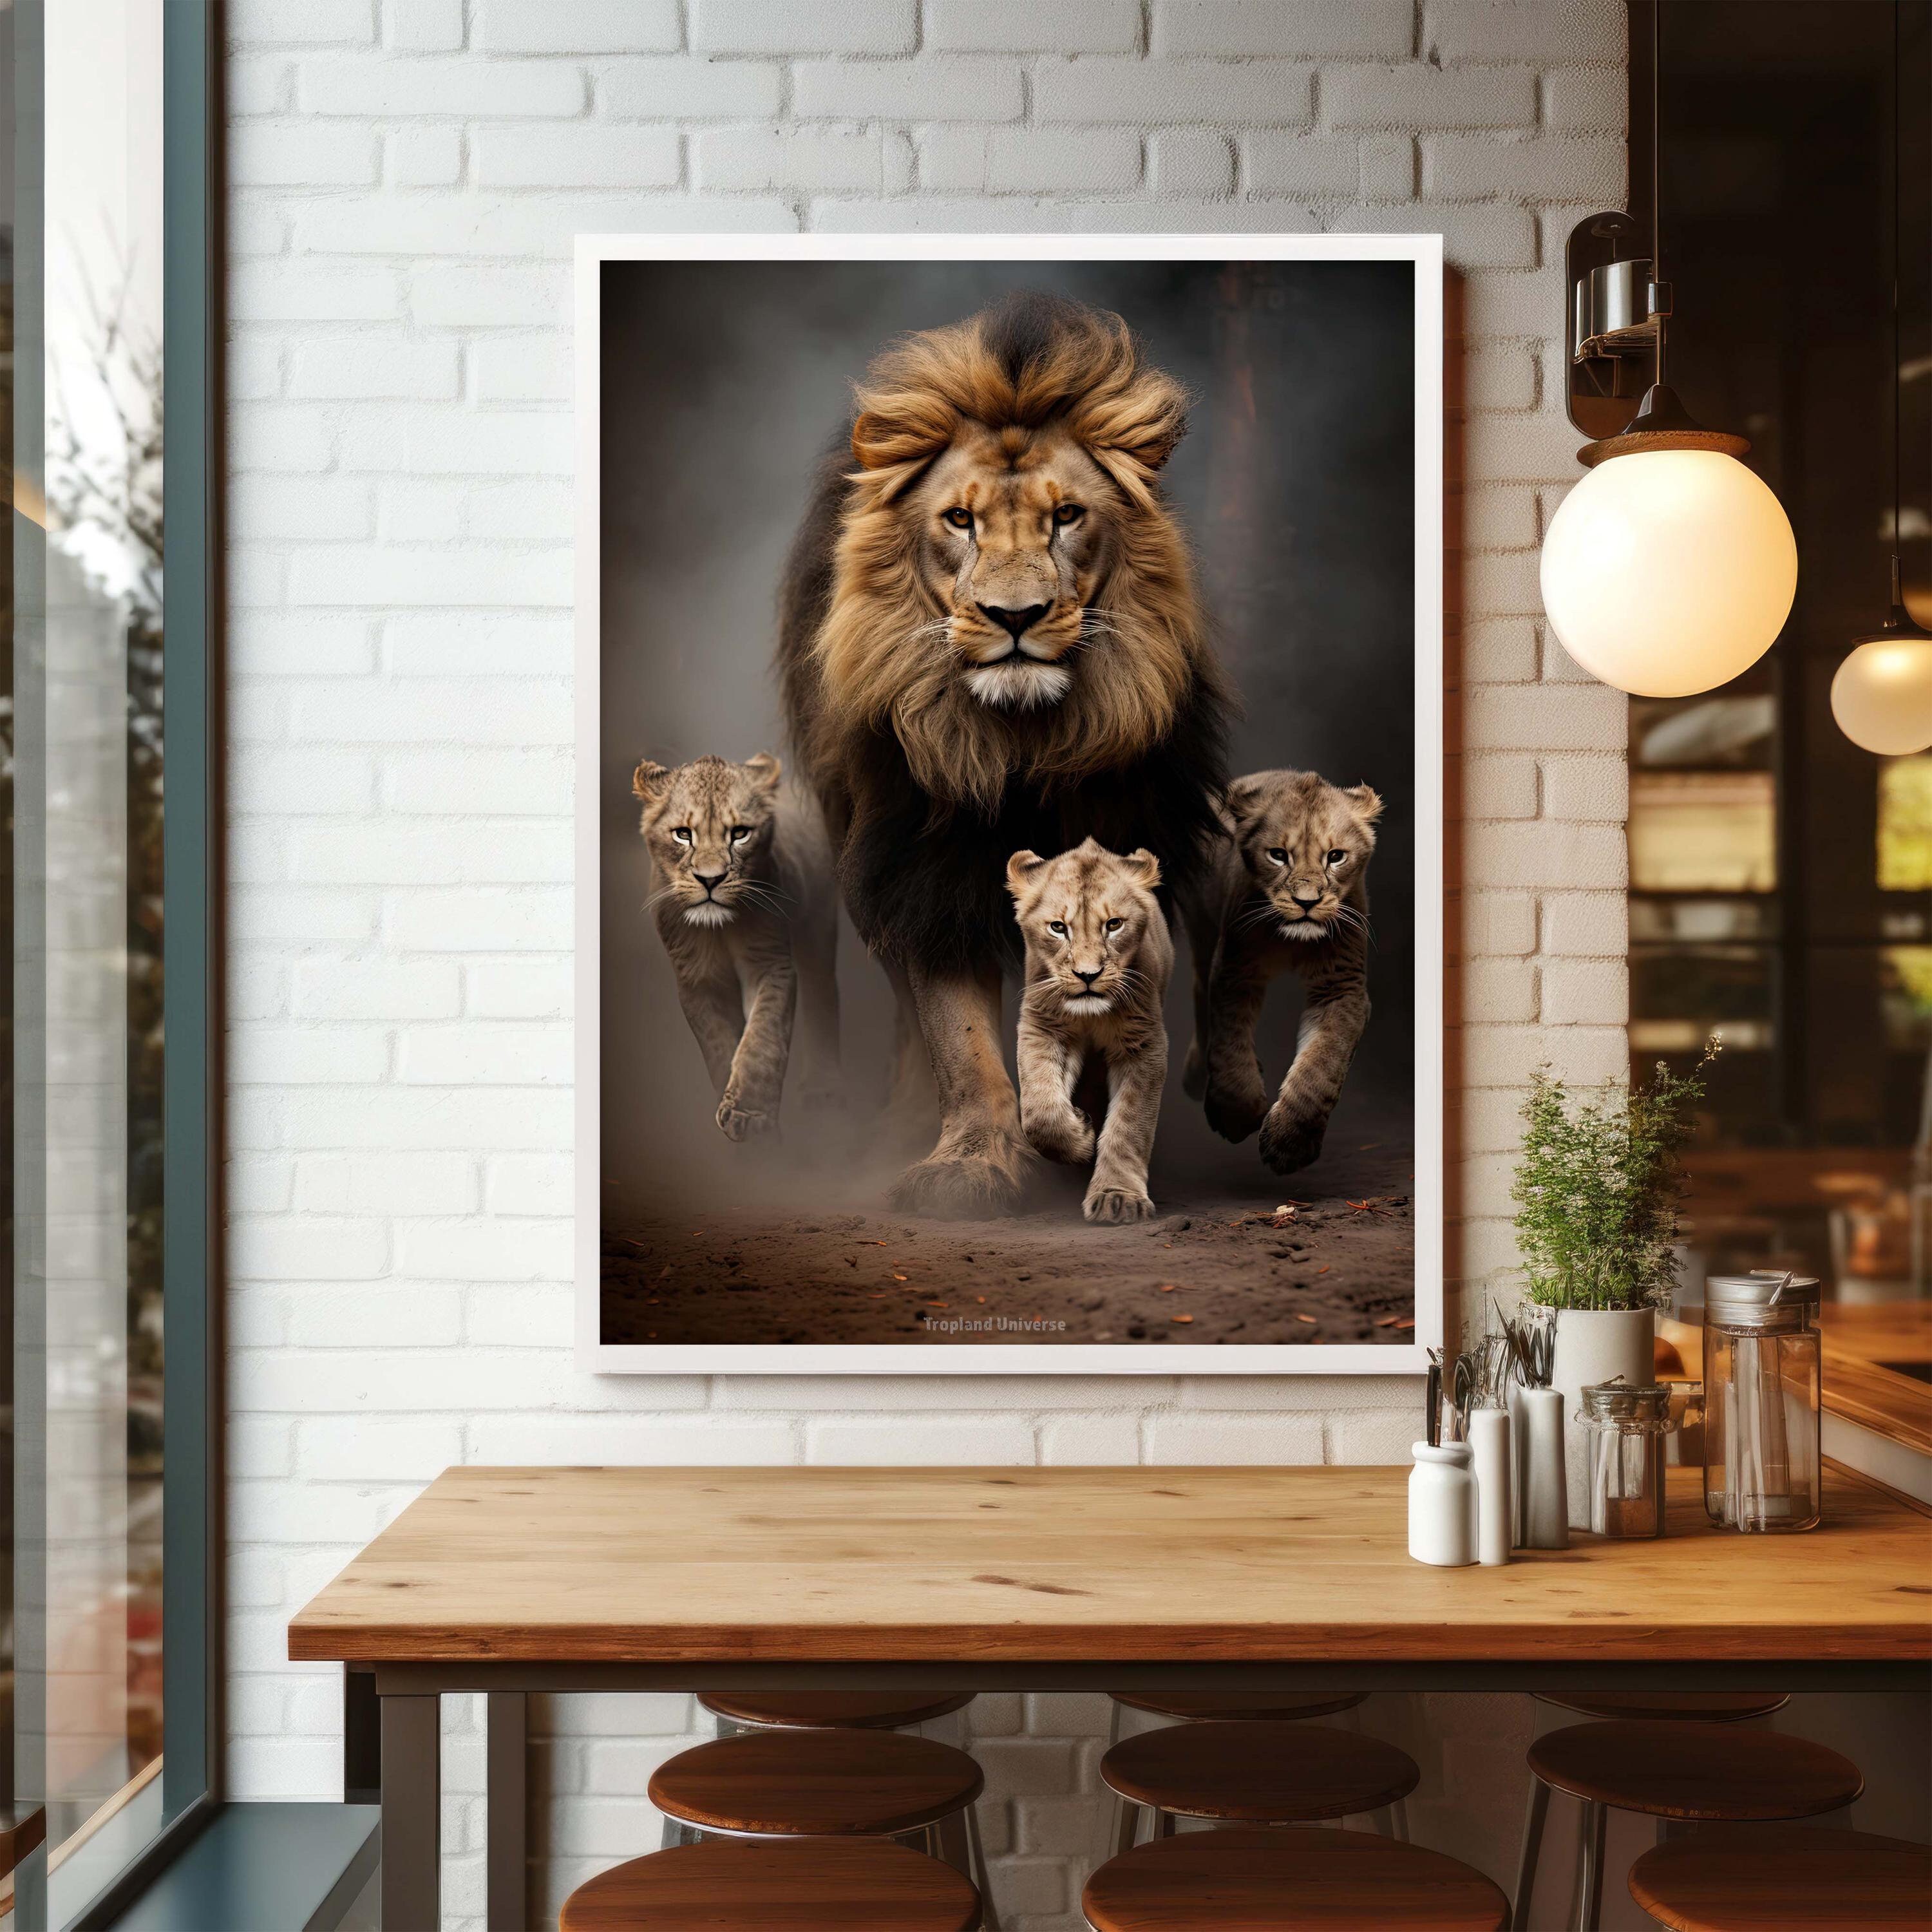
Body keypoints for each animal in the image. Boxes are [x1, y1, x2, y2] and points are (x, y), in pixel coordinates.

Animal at [632, 752, 840, 1141]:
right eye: (684, 834)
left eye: (740, 833)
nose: (710, 879)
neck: (719, 929)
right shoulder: (695, 978)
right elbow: (717, 1042)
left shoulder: (770, 962)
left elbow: (762, 1037)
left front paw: (750, 1117)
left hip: (818, 921)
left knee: (823, 992)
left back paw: (823, 1090)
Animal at [1007, 839, 1171, 1224]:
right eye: (1057, 927)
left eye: (1114, 924)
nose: (1087, 975)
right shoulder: (1043, 1026)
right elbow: (1040, 1112)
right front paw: (1080, 1135)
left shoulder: (1144, 1043)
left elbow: (1130, 1124)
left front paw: (1118, 1198)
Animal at [1181, 769, 1382, 1175]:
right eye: (1278, 856)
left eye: (1335, 857)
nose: (1307, 903)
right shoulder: (1235, 970)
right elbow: (1229, 1045)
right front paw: (1237, 1116)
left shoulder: (1341, 986)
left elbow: (1322, 1065)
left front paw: (1290, 1145)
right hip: (1201, 927)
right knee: (1199, 991)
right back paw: (1197, 1076)